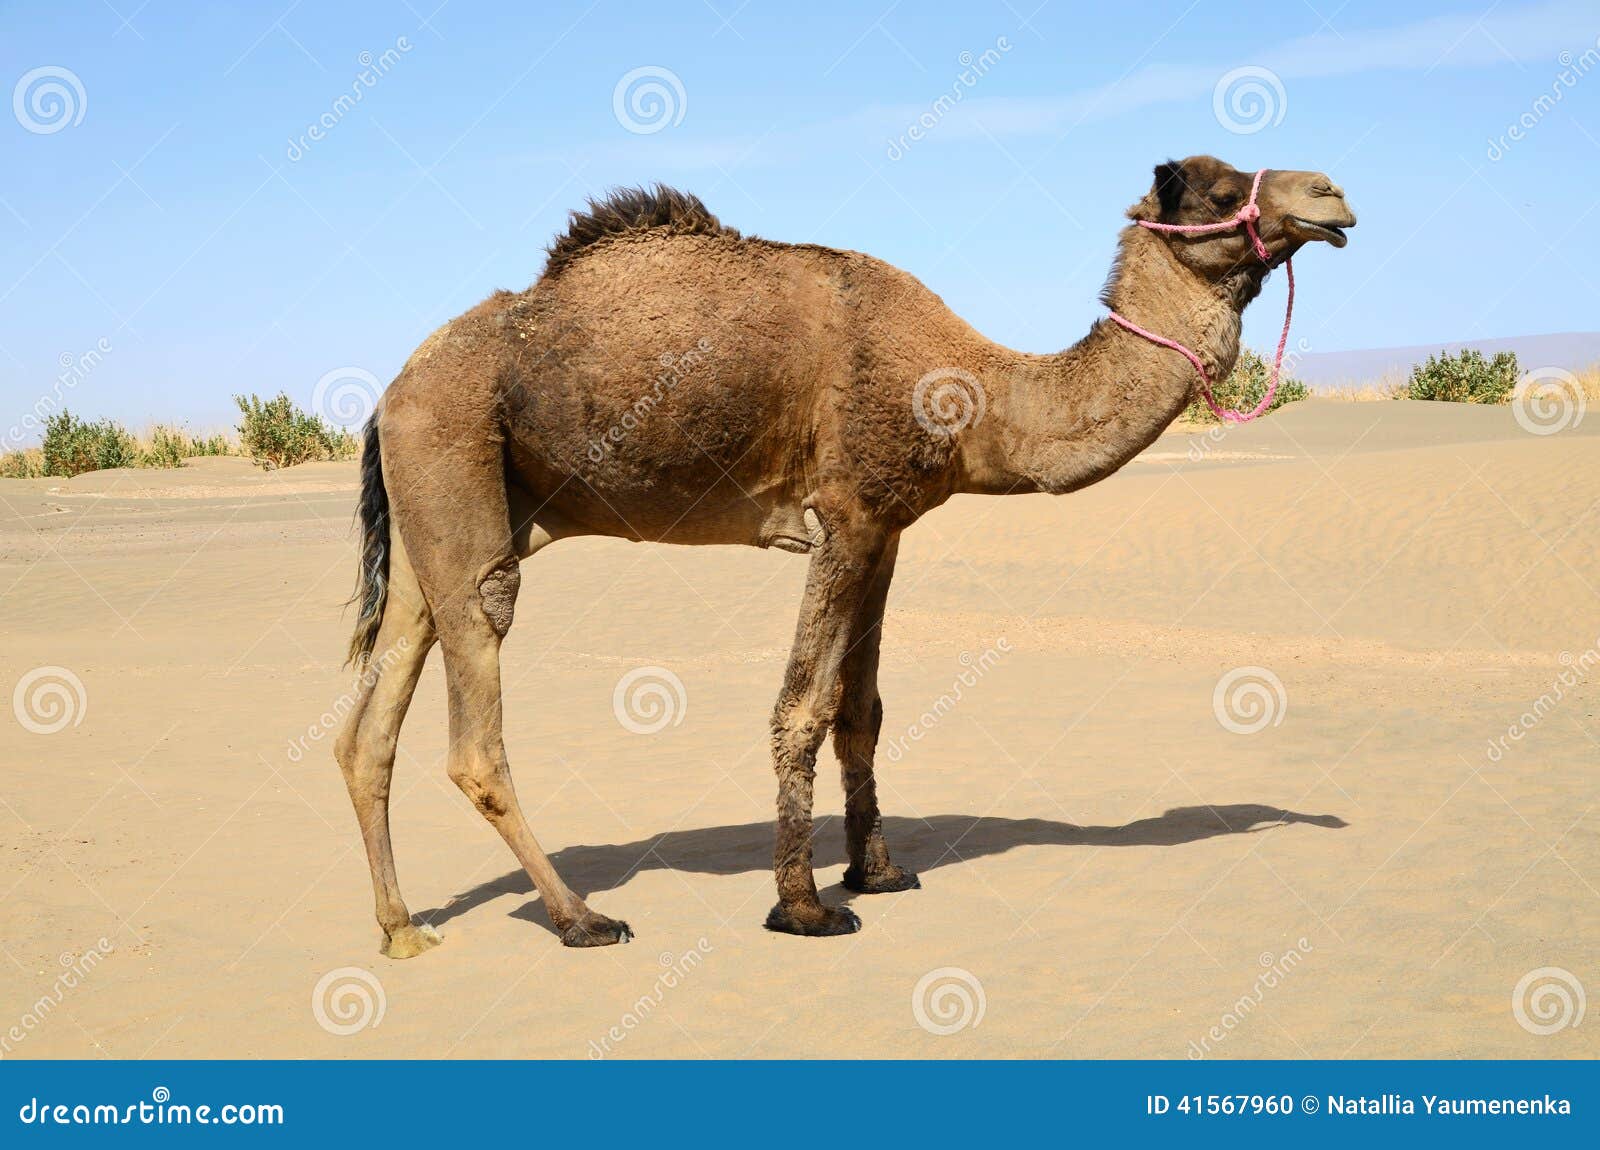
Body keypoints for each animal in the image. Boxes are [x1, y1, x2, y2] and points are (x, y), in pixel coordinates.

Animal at [332, 155, 1355, 955]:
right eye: (1219, 187)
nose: (1333, 194)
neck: (976, 395)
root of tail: (389, 393)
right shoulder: (845, 514)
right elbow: (805, 707)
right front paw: (804, 906)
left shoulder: (890, 527)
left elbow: (863, 708)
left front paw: (879, 870)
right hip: (457, 466)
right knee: (475, 721)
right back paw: (581, 918)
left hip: (440, 526)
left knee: (369, 726)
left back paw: (401, 928)